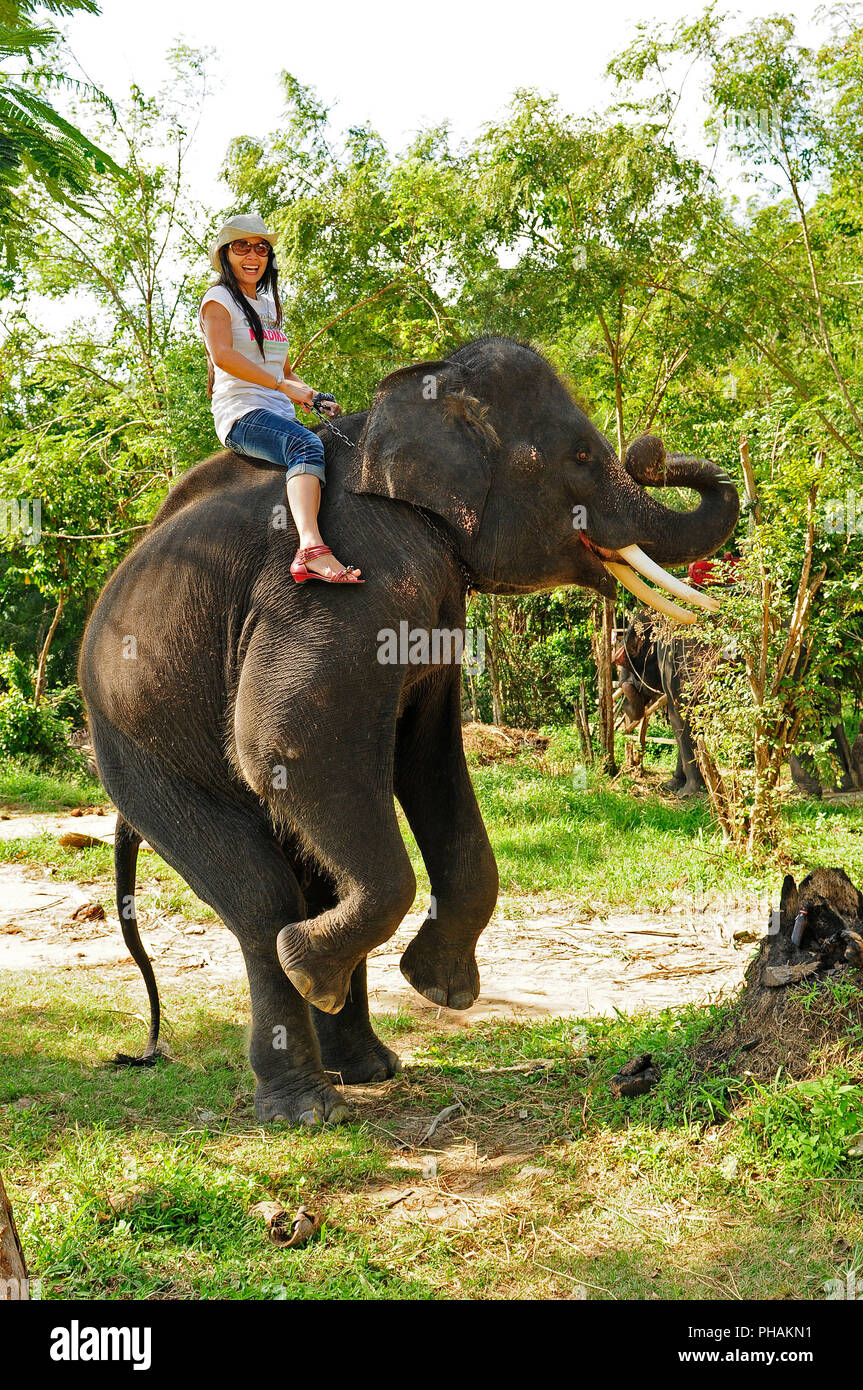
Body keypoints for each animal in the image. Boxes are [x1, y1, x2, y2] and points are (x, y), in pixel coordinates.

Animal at [78, 335, 739, 1125]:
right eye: (580, 455)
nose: (652, 450)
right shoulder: (343, 575)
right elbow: (288, 742)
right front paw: (326, 970)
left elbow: (429, 759)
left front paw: (439, 988)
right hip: (139, 746)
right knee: (260, 898)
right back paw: (310, 1091)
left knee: (309, 875)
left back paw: (367, 1067)